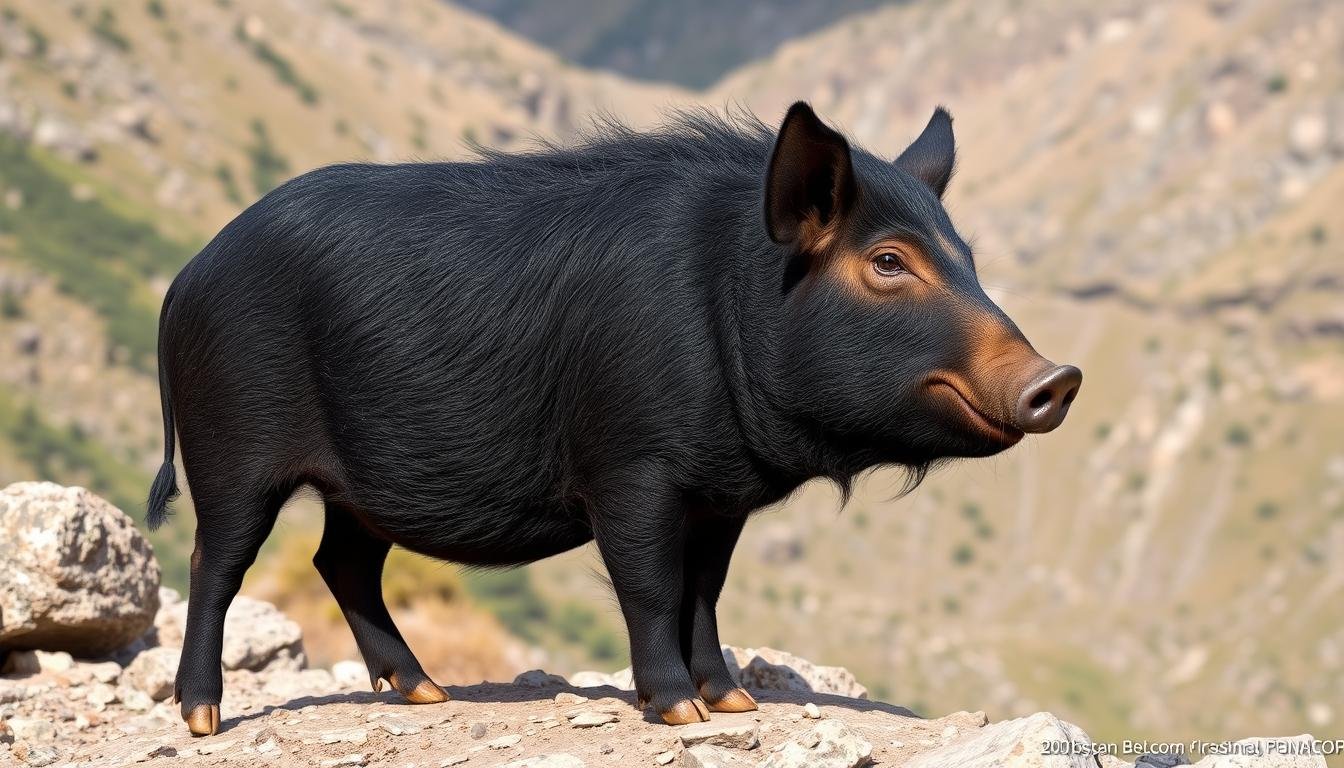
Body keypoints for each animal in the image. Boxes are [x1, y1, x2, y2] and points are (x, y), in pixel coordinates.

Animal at [146, 102, 1081, 735]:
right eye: (887, 261)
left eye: (966, 259)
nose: (1062, 377)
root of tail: (187, 276)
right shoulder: (631, 468)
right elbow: (649, 585)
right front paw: (679, 713)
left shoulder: (720, 495)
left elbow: (704, 591)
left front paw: (734, 703)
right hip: (233, 451)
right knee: (214, 562)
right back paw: (201, 720)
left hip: (359, 487)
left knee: (340, 562)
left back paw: (427, 693)